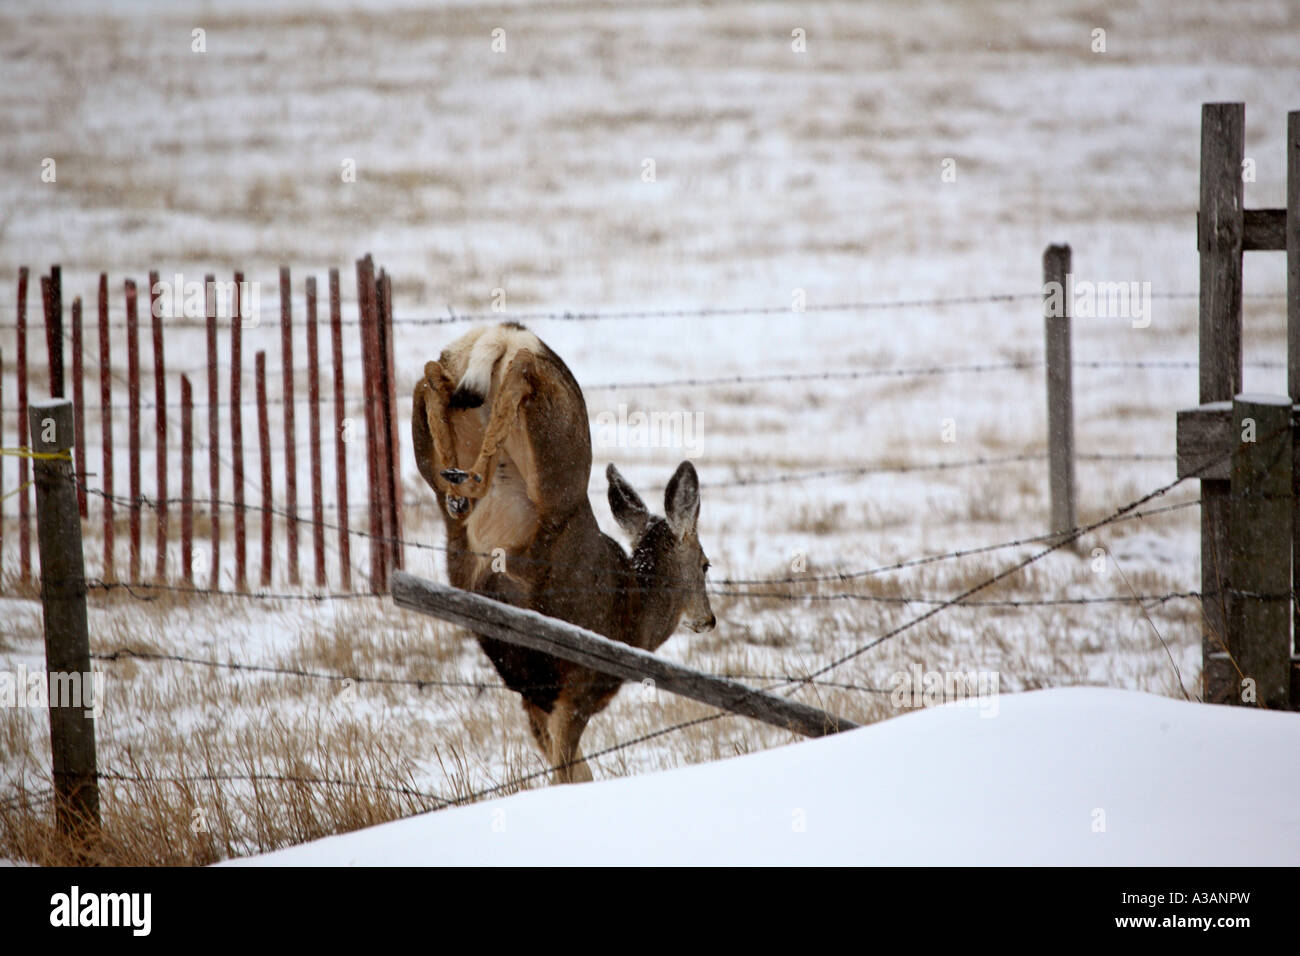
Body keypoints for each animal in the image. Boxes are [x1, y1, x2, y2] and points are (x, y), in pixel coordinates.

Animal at [412, 322, 716, 783]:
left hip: (436, 443)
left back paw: (458, 481)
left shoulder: (534, 695)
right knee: (521, 376)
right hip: (559, 459)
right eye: (705, 564)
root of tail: (507, 334)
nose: (708, 619)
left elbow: (573, 769)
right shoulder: (578, 689)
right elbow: (567, 770)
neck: (635, 618)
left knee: (429, 378)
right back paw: (473, 476)